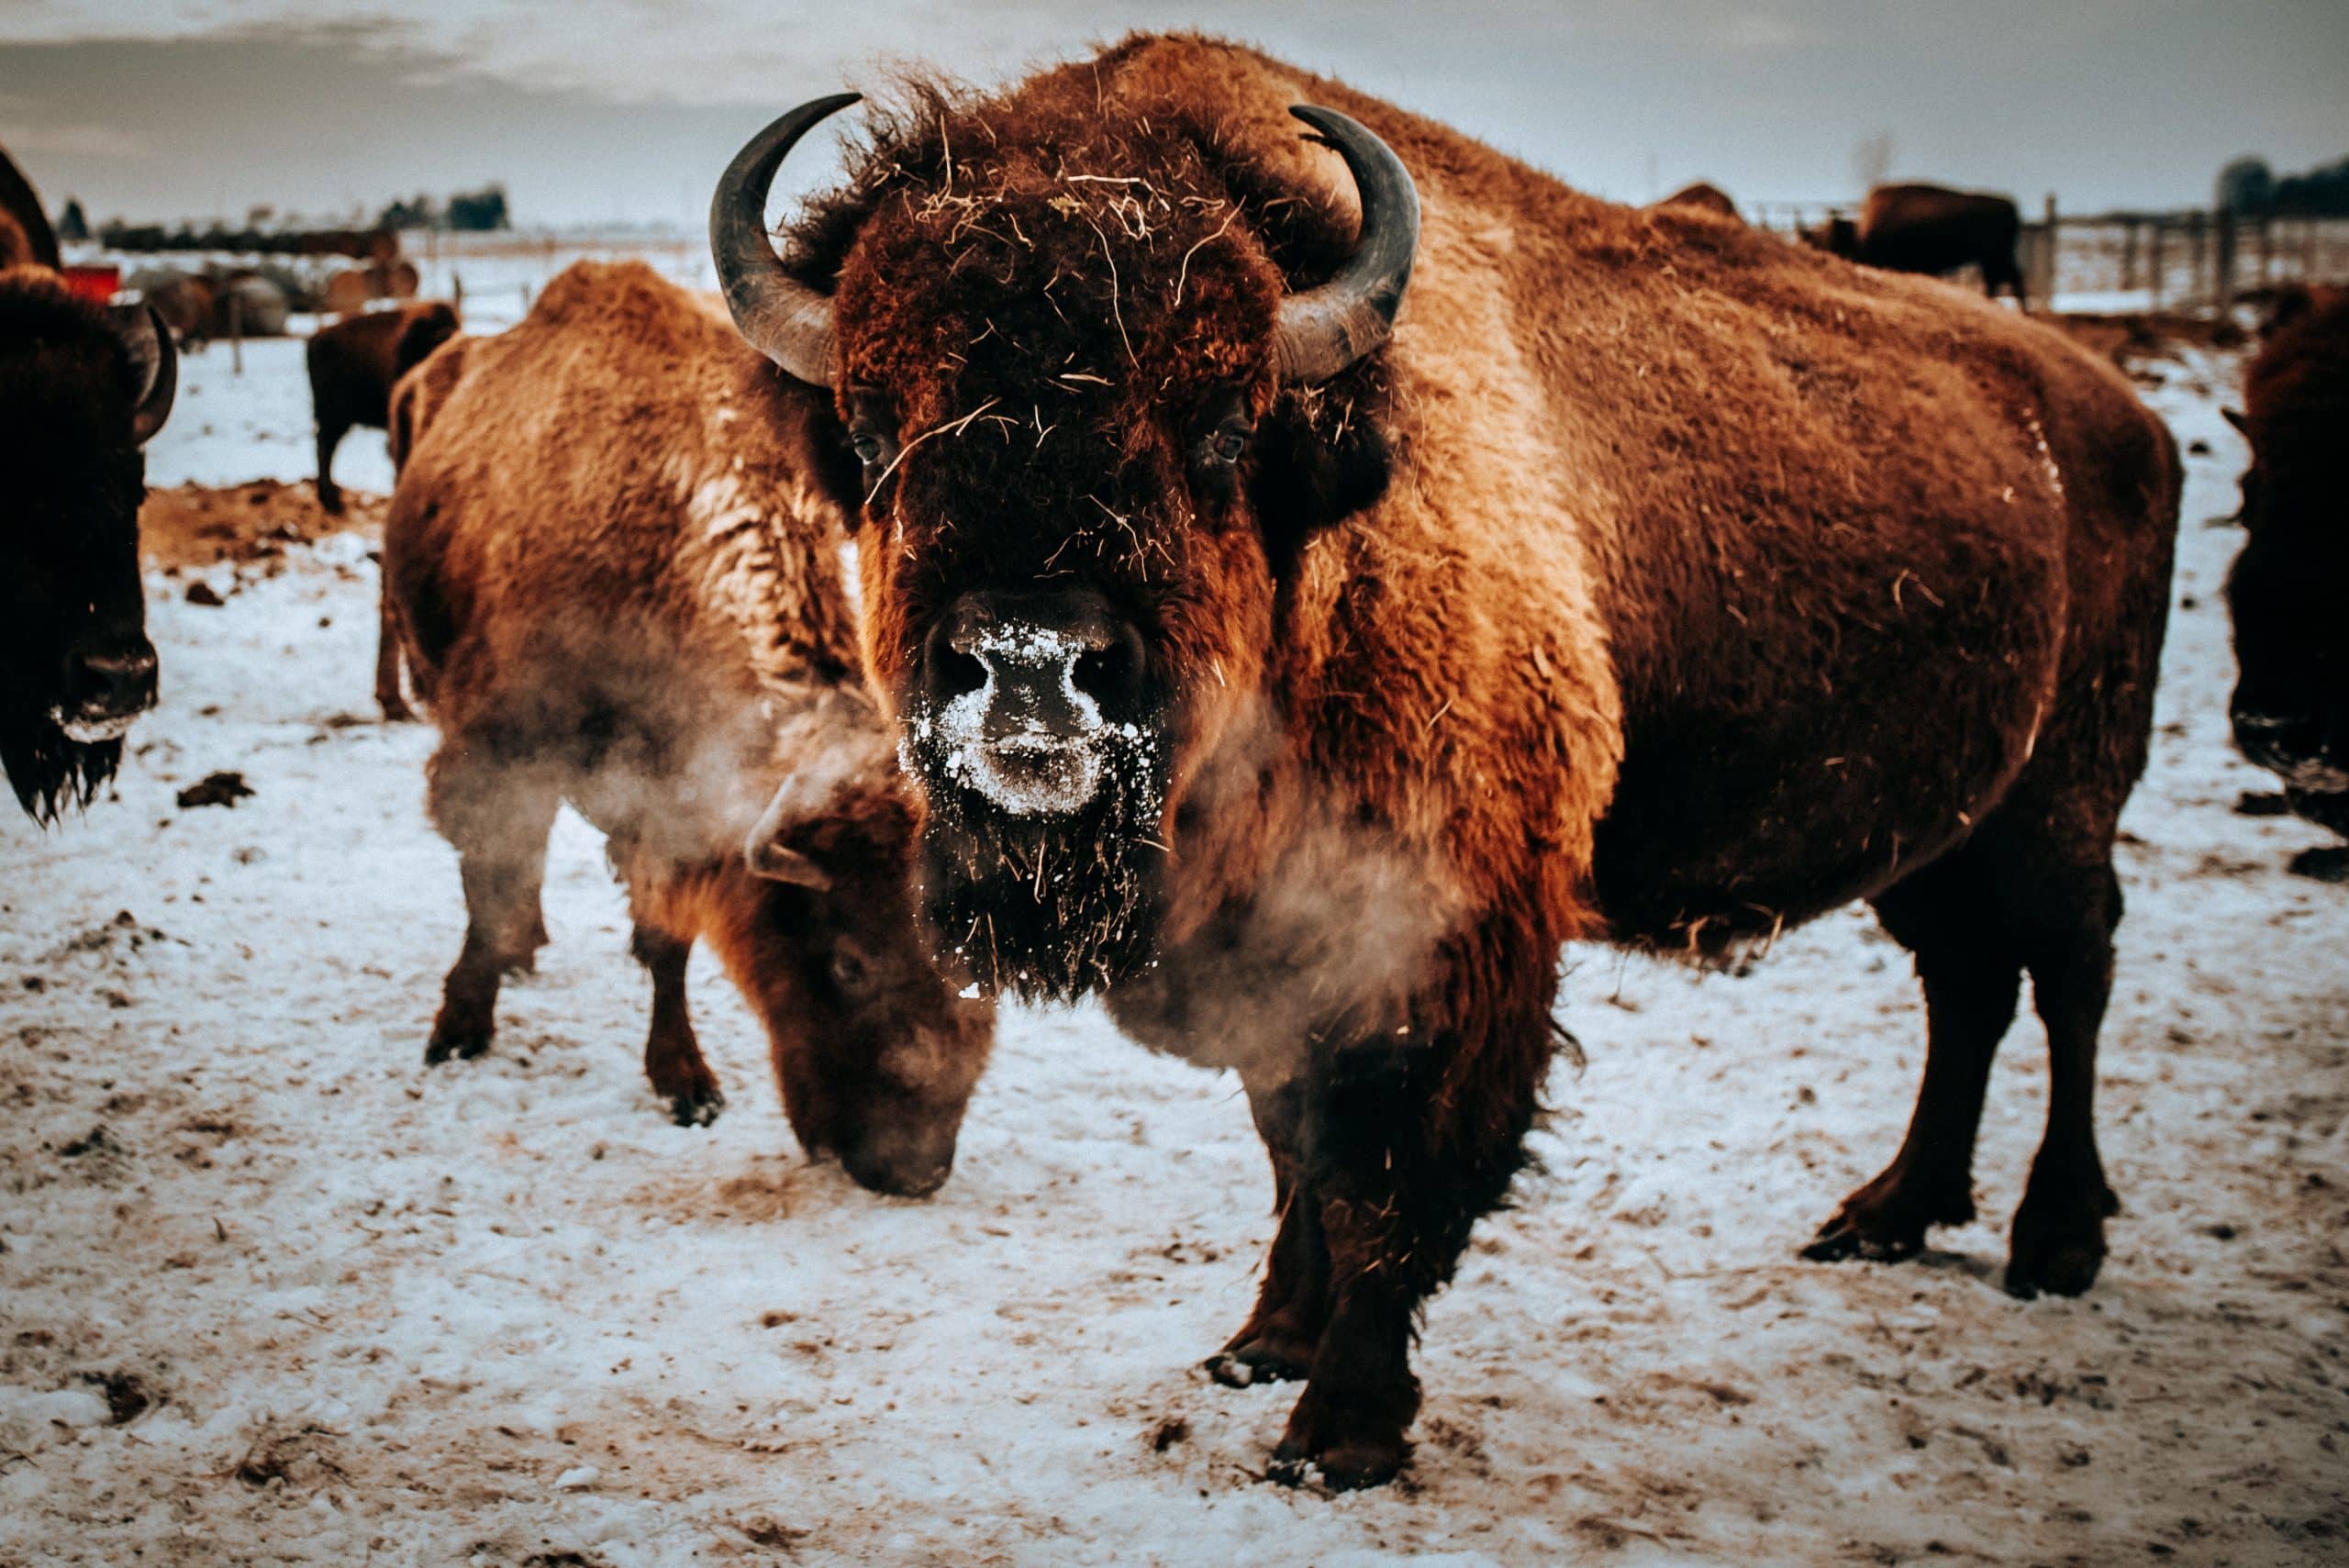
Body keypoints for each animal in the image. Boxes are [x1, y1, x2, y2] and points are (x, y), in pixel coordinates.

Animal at [383, 260, 993, 1194]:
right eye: (846, 960)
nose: (915, 1170)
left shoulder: (666, 810)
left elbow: (664, 940)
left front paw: (686, 1081)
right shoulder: (499, 752)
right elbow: (488, 874)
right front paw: (459, 1027)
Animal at [1804, 182, 2027, 305]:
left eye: (1829, 240)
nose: (1818, 253)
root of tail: (2010, 205)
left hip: (1995, 256)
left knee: (2010, 278)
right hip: (1991, 259)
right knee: (2001, 279)